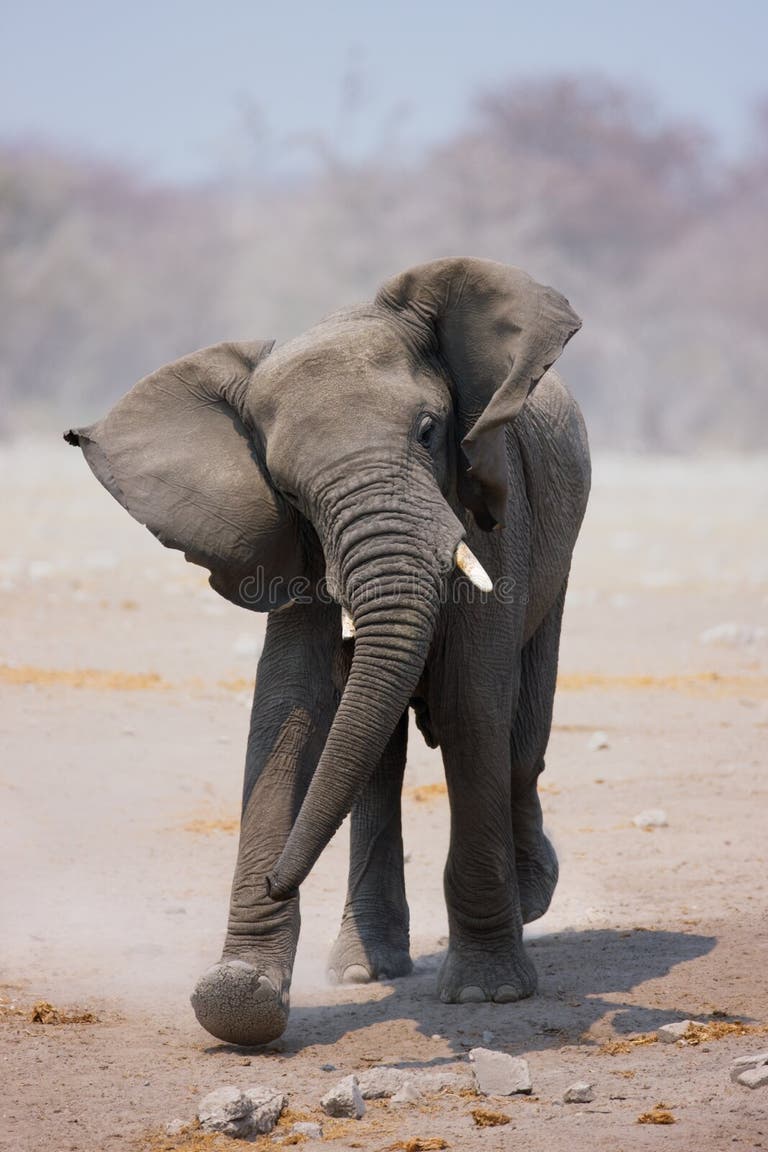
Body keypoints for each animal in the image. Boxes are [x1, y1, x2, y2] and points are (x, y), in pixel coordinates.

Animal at [65, 257, 590, 1047]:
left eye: (429, 431)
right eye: (284, 485)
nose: (276, 879)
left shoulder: (494, 503)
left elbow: (471, 697)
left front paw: (487, 994)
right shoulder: (288, 539)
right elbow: (292, 702)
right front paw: (239, 998)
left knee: (521, 735)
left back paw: (533, 896)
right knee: (379, 753)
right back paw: (362, 970)